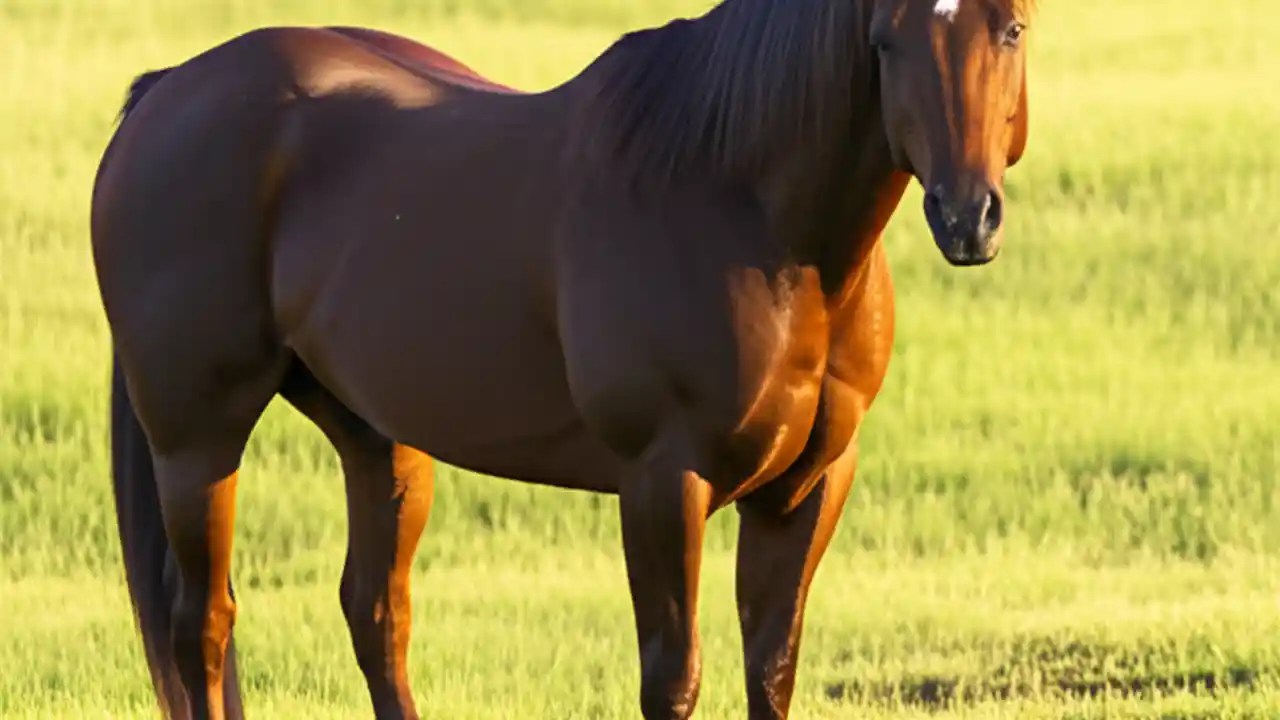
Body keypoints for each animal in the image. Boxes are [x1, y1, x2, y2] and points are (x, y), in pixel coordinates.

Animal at [90, 0, 1035, 717]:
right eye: (886, 39)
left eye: (1012, 28)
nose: (968, 217)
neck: (740, 208)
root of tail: (167, 89)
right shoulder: (663, 483)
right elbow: (673, 680)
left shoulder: (807, 486)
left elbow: (771, 674)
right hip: (196, 441)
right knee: (203, 628)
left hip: (377, 436)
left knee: (376, 615)